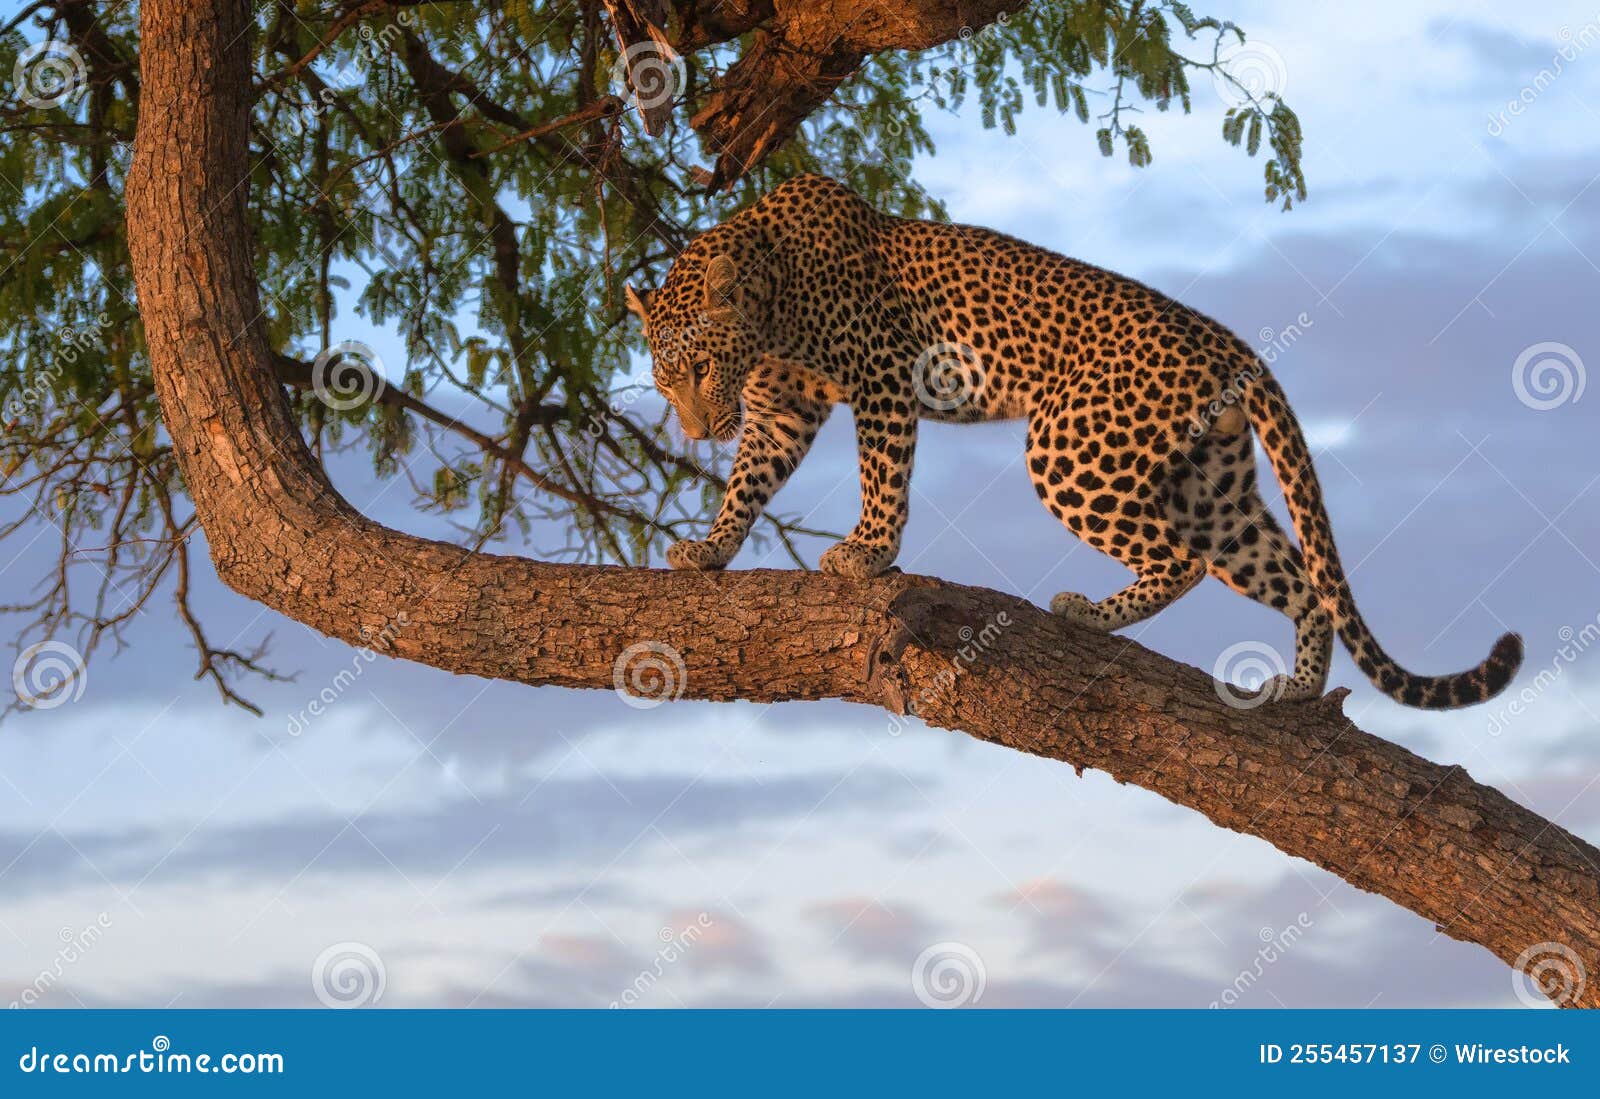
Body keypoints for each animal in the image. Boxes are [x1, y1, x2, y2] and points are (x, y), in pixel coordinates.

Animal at [625, 173, 1522, 709]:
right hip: (1213, 483)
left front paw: (866, 554)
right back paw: (1300, 687)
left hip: (1069, 446)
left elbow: (882, 473)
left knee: (1181, 559)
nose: (697, 428)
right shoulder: (781, 405)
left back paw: (1090, 613)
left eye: (702, 366)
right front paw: (709, 549)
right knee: (1294, 575)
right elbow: (748, 480)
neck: (770, 296)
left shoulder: (882, 374)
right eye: (666, 382)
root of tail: (1228, 342)